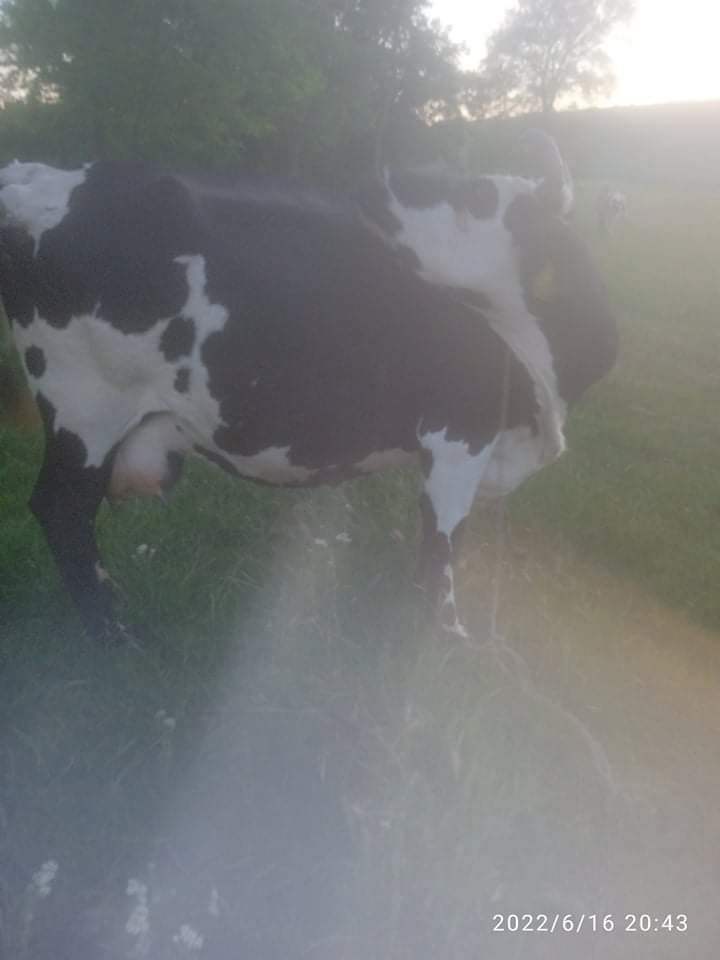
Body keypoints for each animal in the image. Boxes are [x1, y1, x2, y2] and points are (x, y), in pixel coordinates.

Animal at [0, 133, 617, 643]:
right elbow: (443, 544)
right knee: (60, 510)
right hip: (87, 408)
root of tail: (39, 175)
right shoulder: (459, 431)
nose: (379, 180)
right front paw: (445, 638)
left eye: (480, 195)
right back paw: (116, 633)